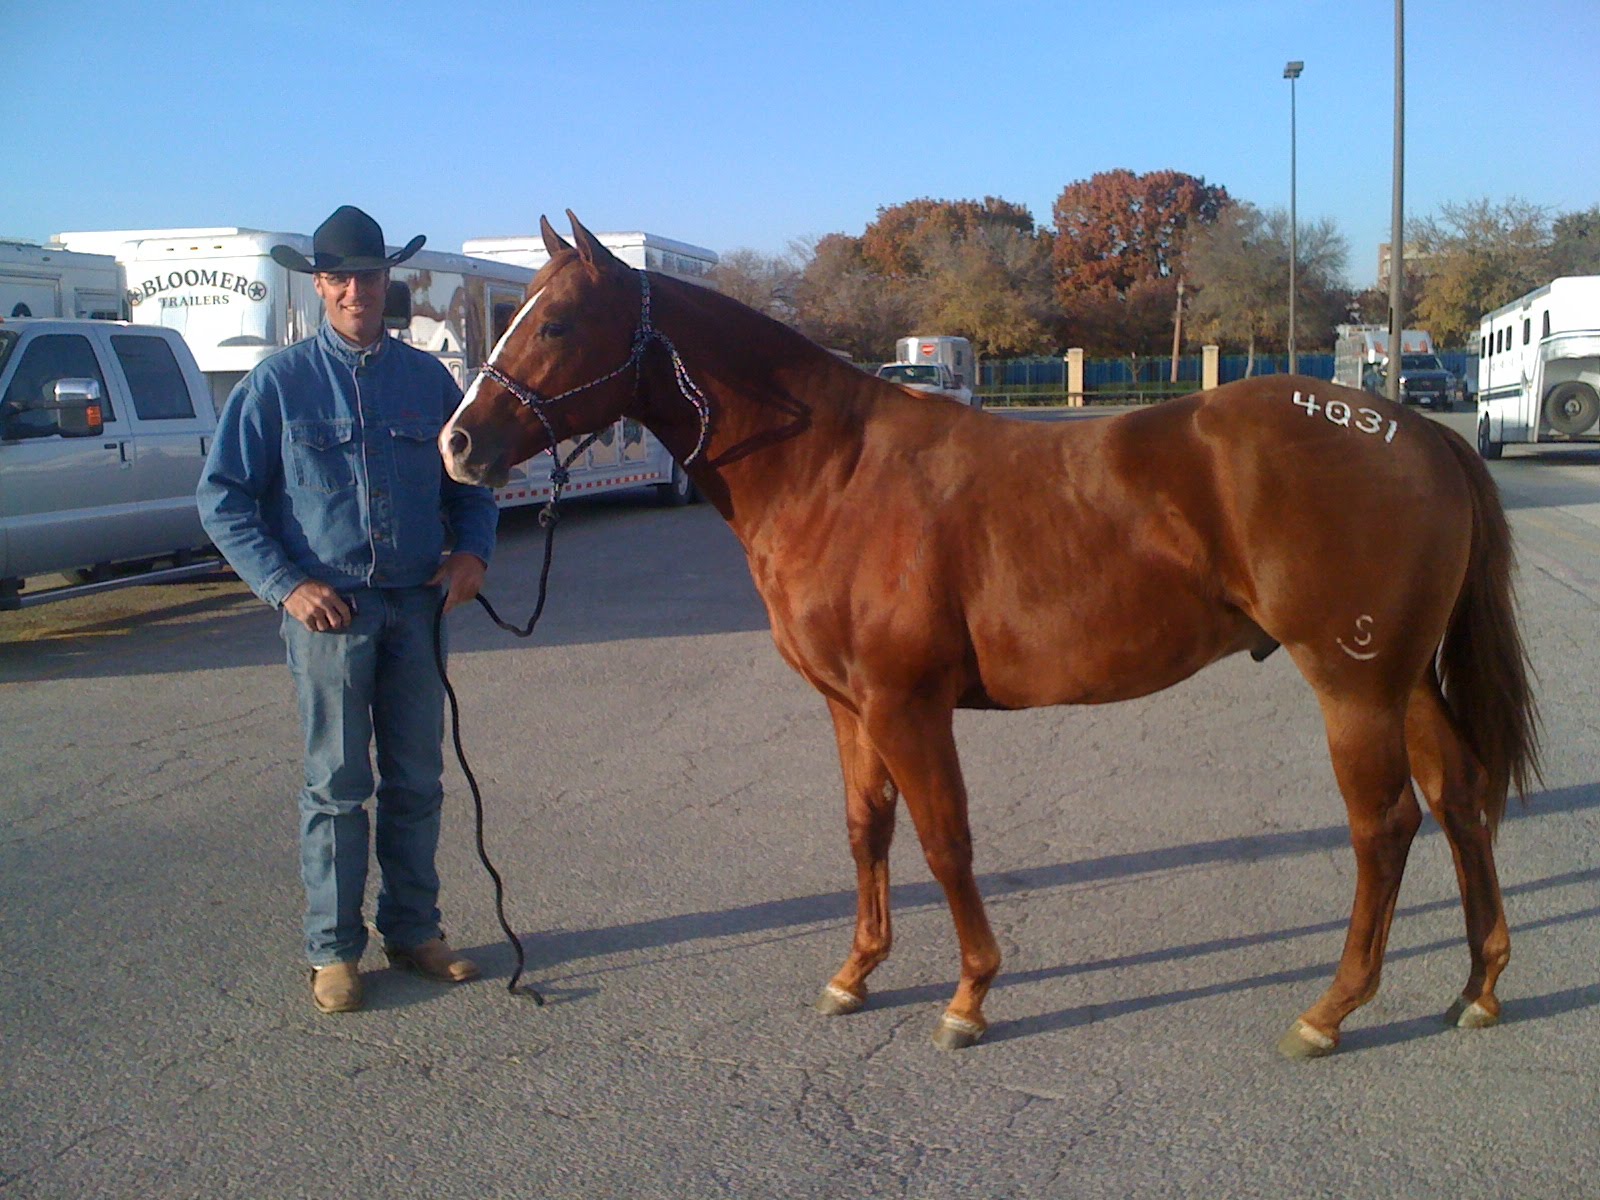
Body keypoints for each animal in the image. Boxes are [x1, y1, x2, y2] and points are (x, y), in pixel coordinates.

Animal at [440, 213, 1540, 1058]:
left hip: (1352, 686)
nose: (459, 444)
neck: (835, 470)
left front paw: (968, 998)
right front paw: (855, 973)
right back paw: (1478, 988)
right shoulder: (849, 706)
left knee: (1384, 827)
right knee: (1460, 798)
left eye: (558, 321)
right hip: (1402, 680)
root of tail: (1417, 432)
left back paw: (1328, 1012)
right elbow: (867, 830)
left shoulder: (906, 704)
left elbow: (944, 841)